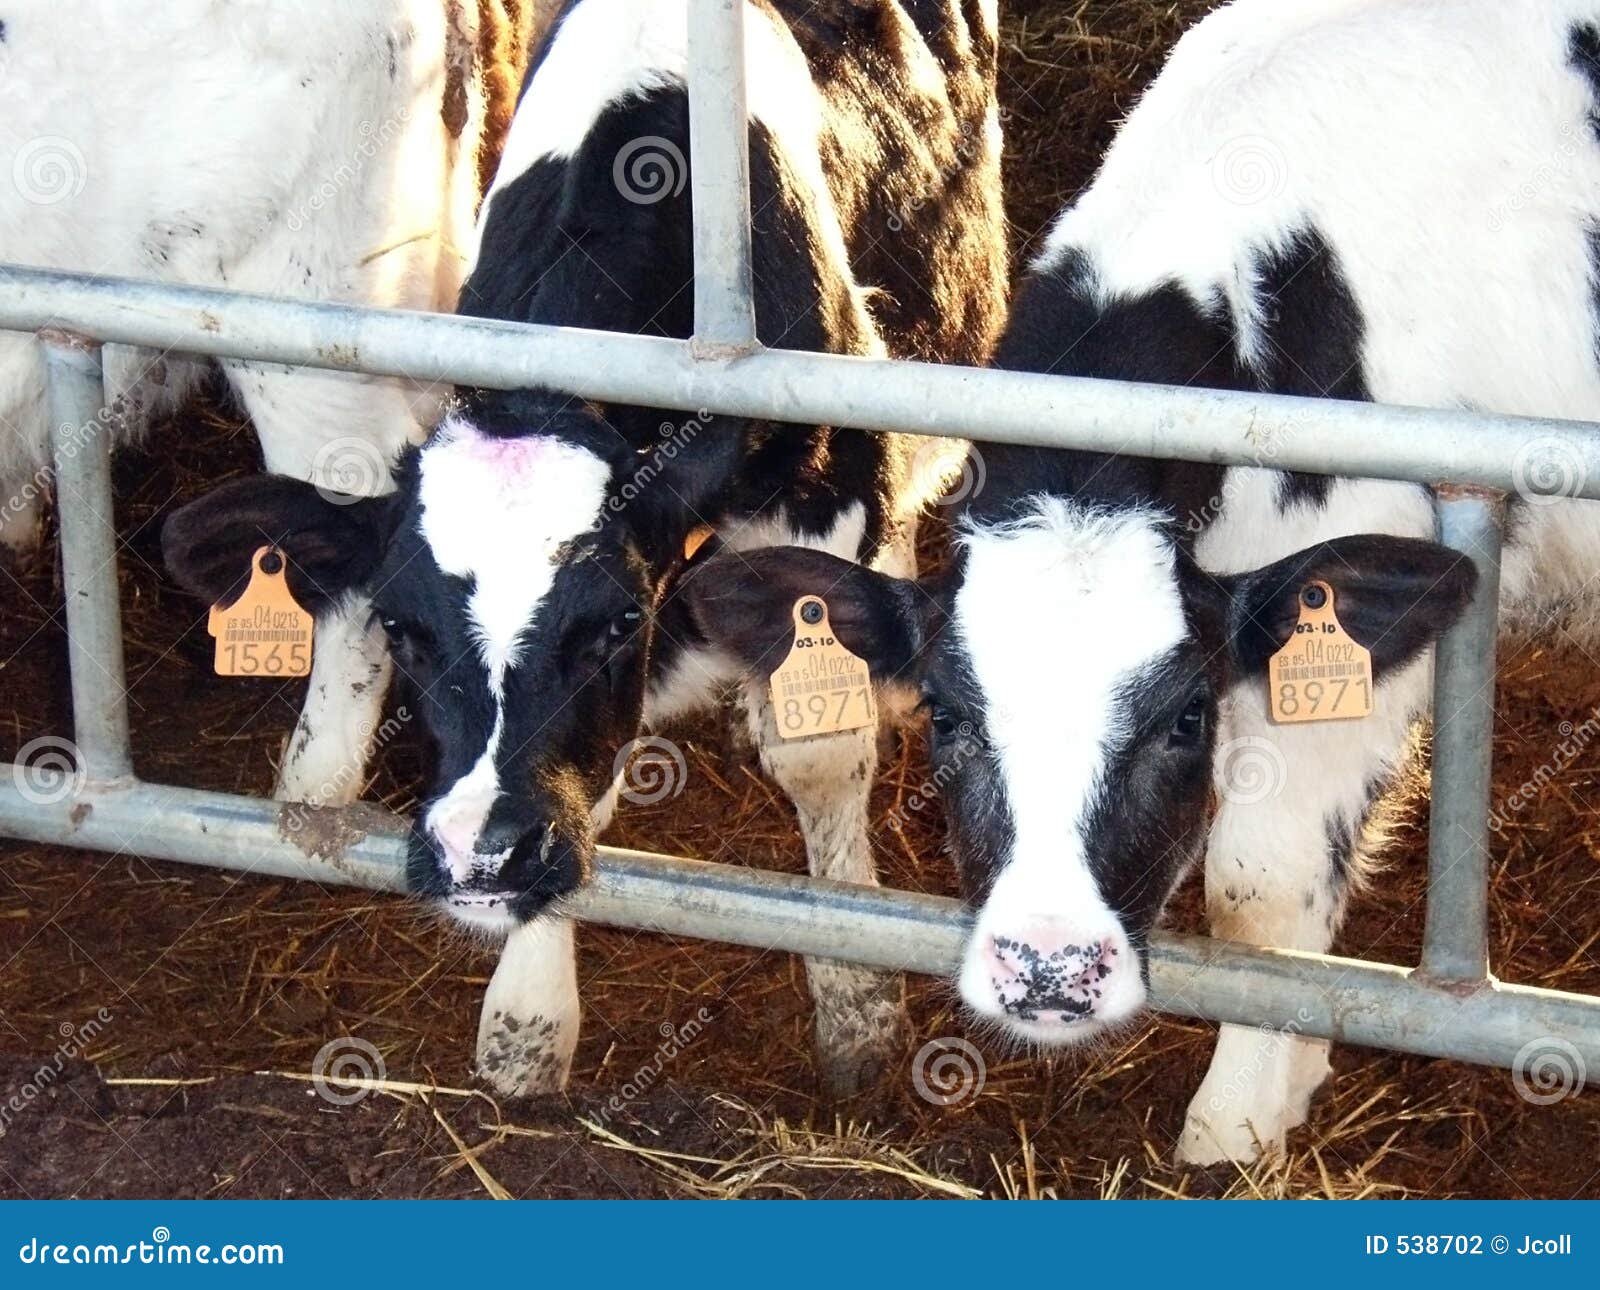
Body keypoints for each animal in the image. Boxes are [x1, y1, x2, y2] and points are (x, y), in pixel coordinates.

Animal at [161, 0, 1008, 1097]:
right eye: (401, 626)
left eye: (616, 623)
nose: (480, 857)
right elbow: (596, 781)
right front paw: (528, 1018)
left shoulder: (819, 490)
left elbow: (818, 750)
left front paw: (858, 1005)